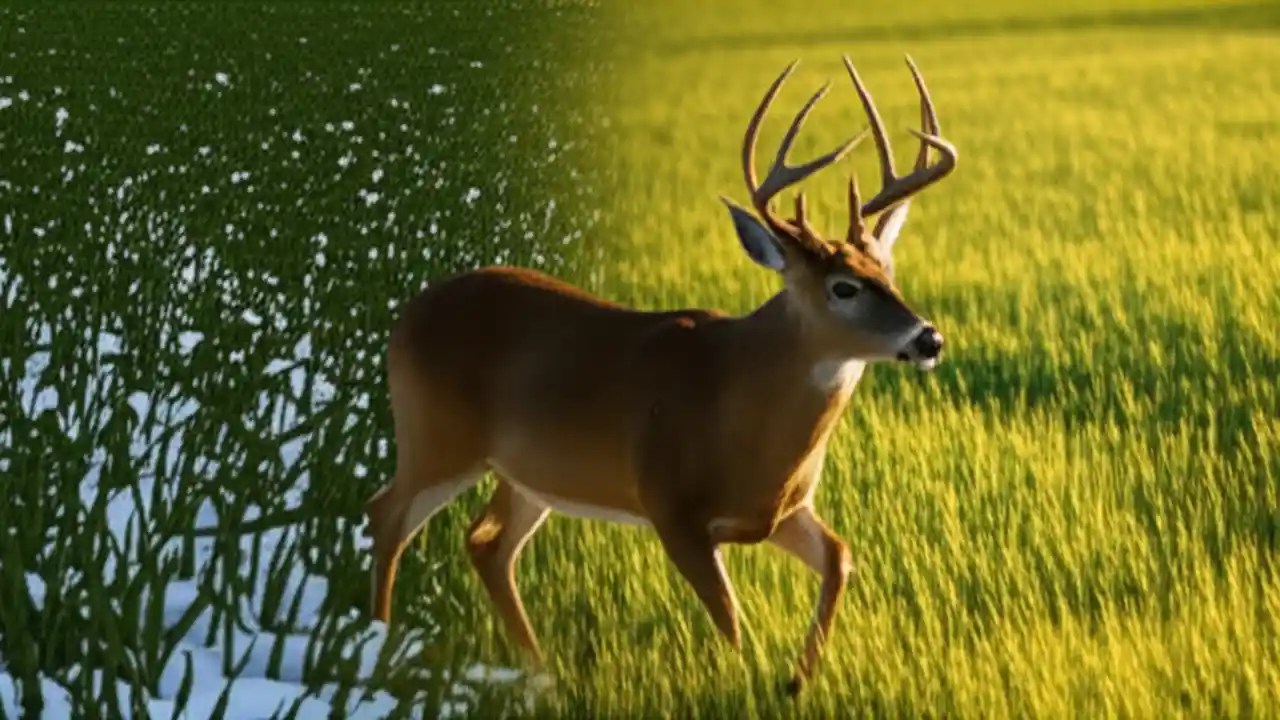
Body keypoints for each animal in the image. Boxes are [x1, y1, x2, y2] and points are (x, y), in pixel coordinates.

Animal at [364, 54, 957, 695]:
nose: (928, 338)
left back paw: (542, 675)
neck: (738, 398)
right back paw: (376, 651)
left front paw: (796, 682)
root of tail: (406, 313)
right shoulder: (670, 506)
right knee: (388, 514)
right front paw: (748, 685)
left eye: (888, 271)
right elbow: (731, 622)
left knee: (486, 542)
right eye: (843, 287)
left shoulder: (780, 511)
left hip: (527, 473)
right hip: (437, 436)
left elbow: (840, 557)